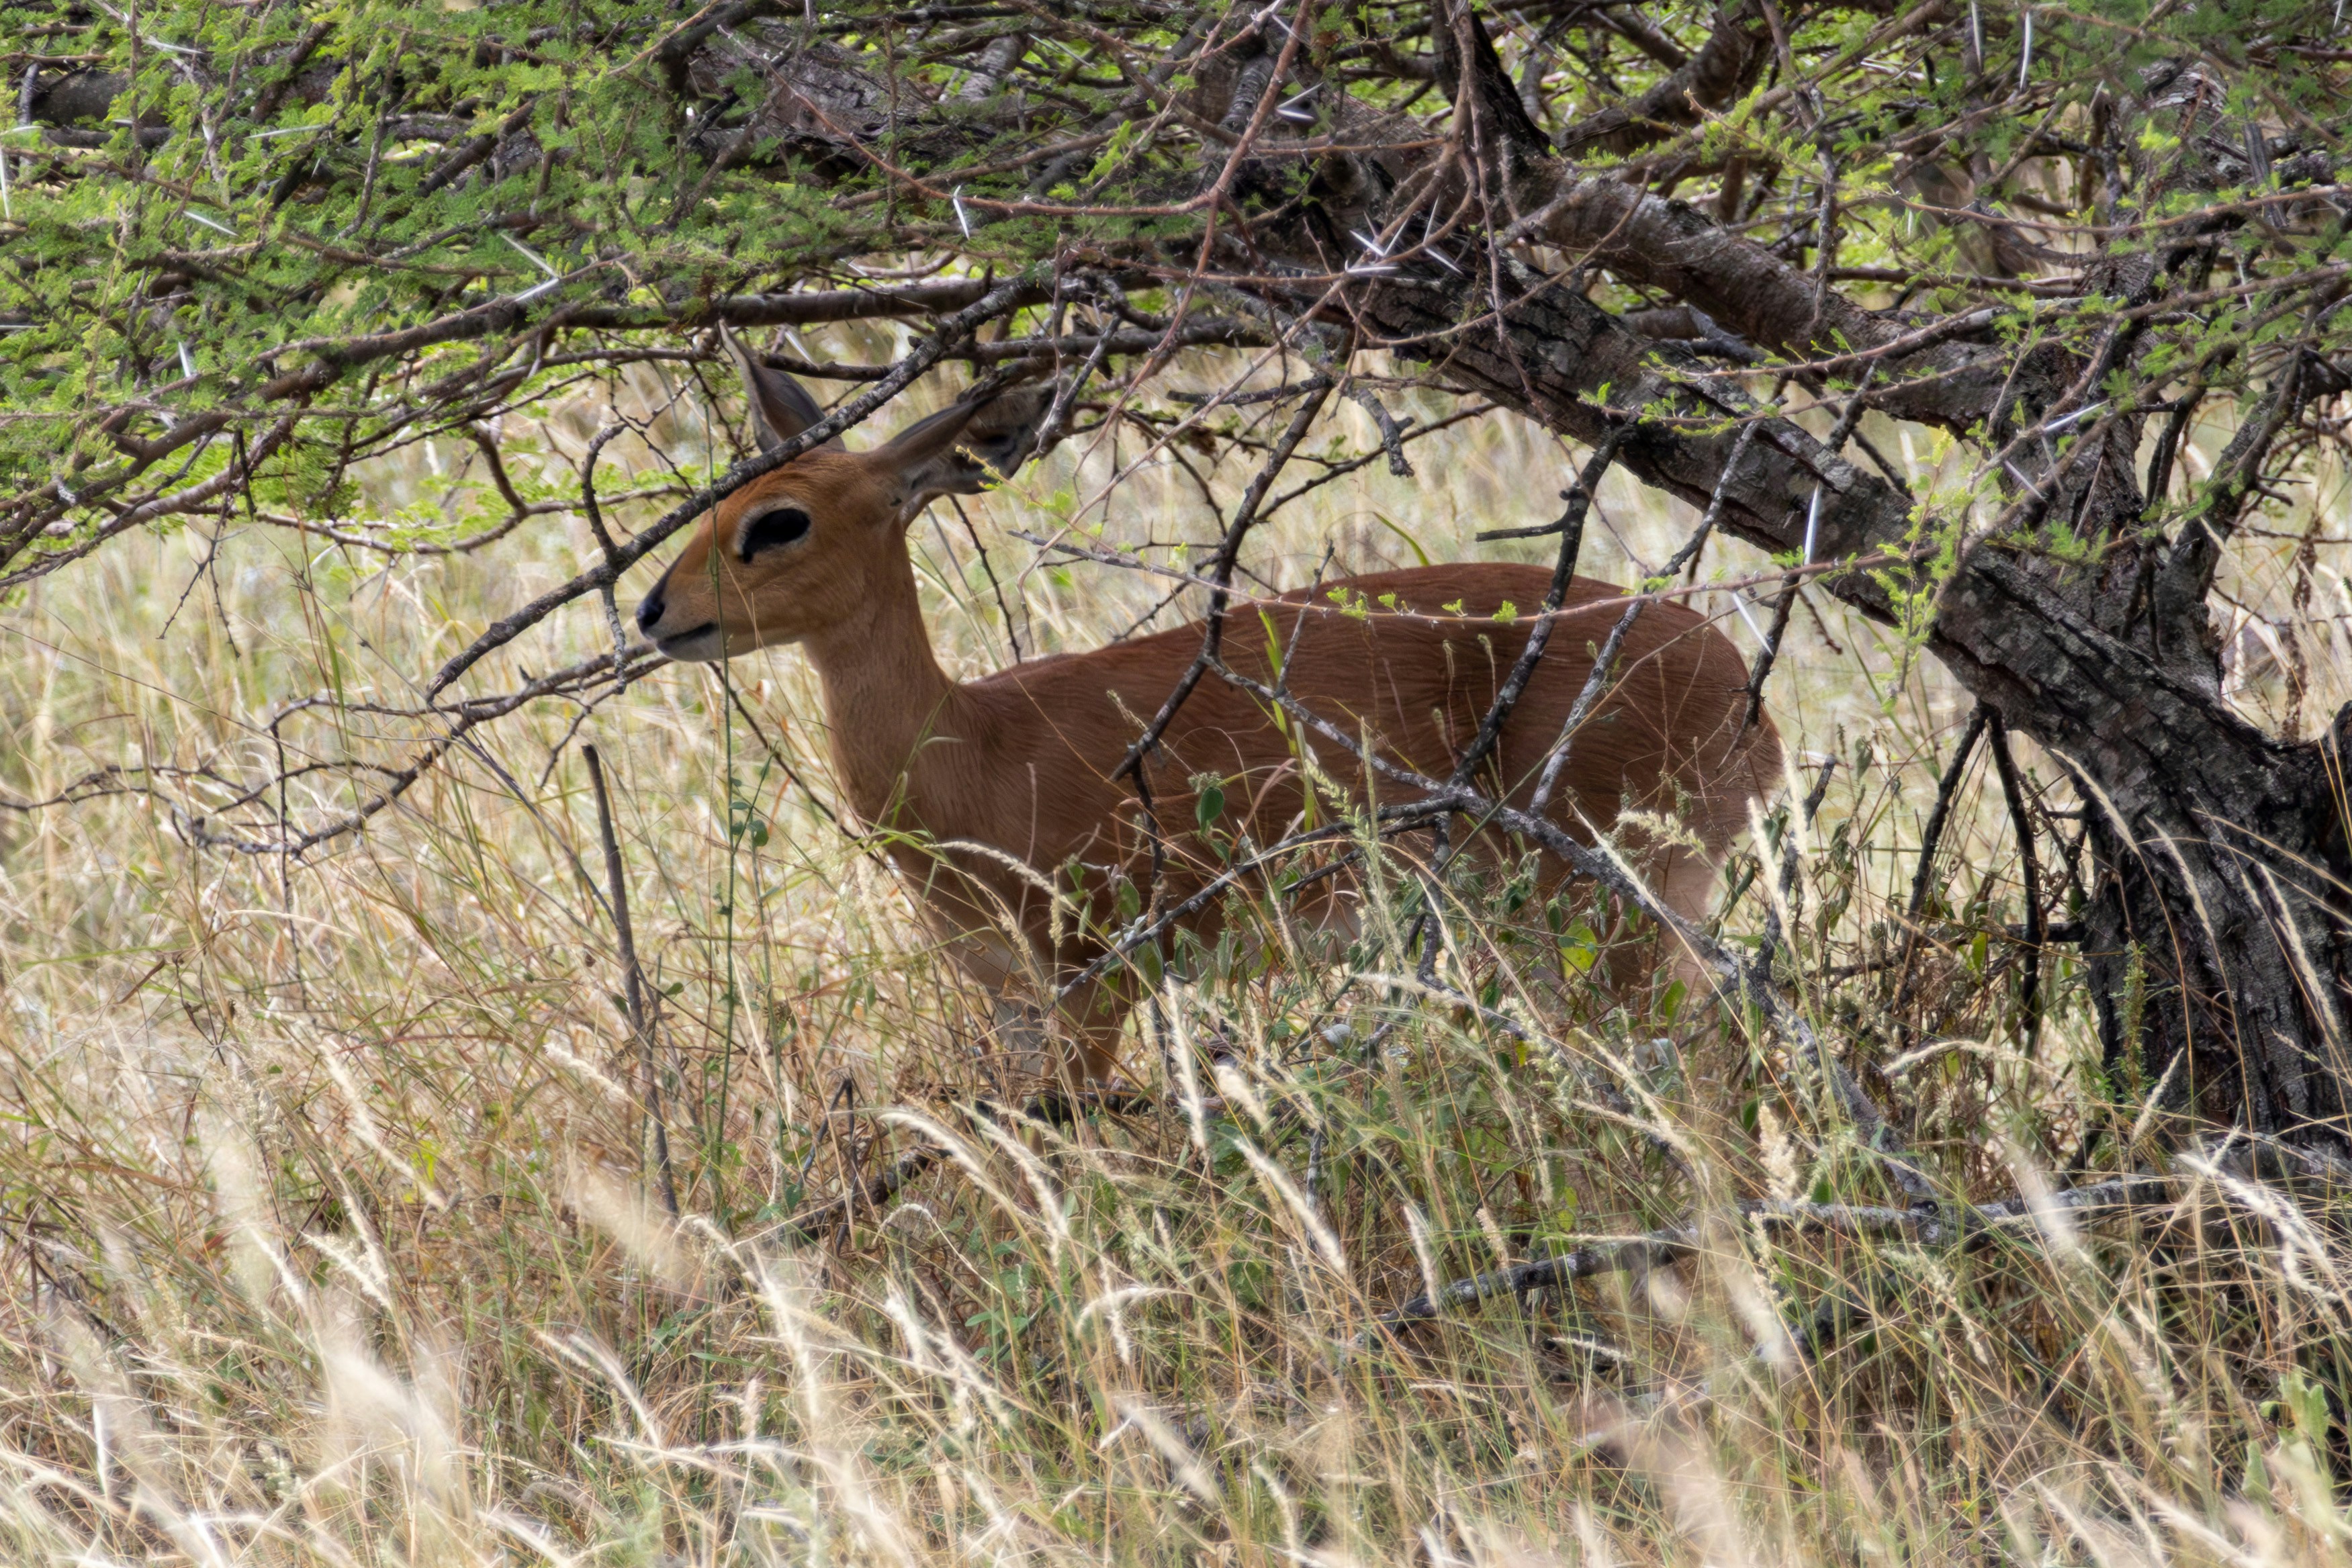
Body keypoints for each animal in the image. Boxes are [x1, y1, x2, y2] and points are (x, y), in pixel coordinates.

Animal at [635, 335, 1782, 1083]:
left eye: (780, 520)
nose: (654, 610)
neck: (973, 748)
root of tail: (1741, 689)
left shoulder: (1093, 979)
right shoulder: (1010, 1000)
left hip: (1606, 915)